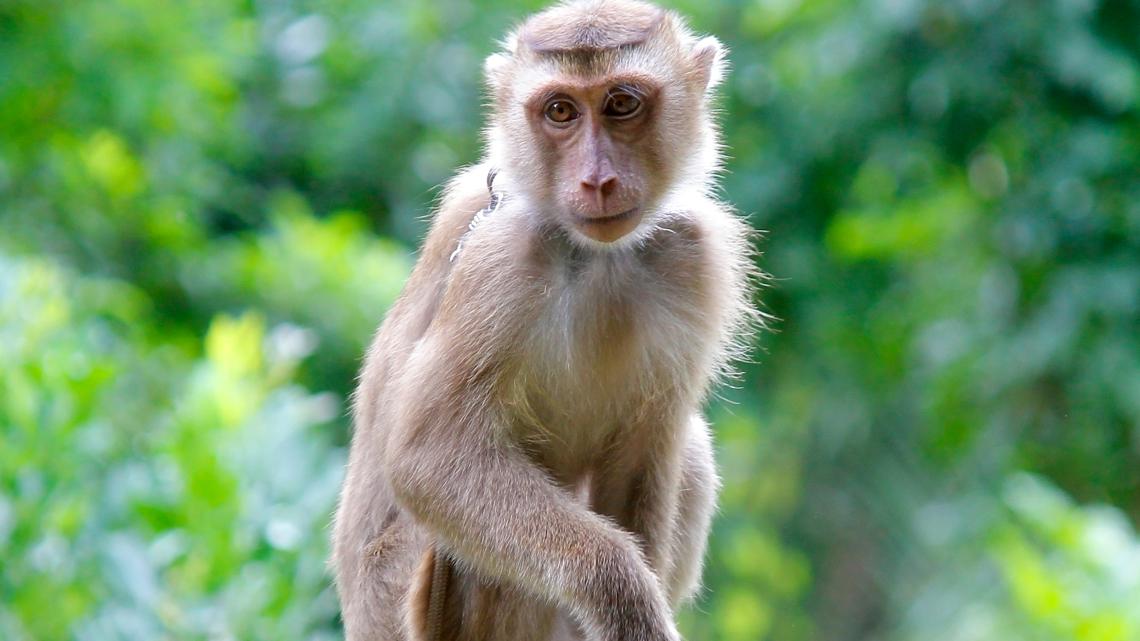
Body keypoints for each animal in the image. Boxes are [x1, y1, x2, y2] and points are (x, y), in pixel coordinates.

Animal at [331, 1, 757, 640]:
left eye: (622, 103)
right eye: (560, 111)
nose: (597, 180)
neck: (598, 255)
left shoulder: (693, 254)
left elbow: (643, 453)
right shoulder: (502, 256)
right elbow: (431, 460)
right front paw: (623, 594)